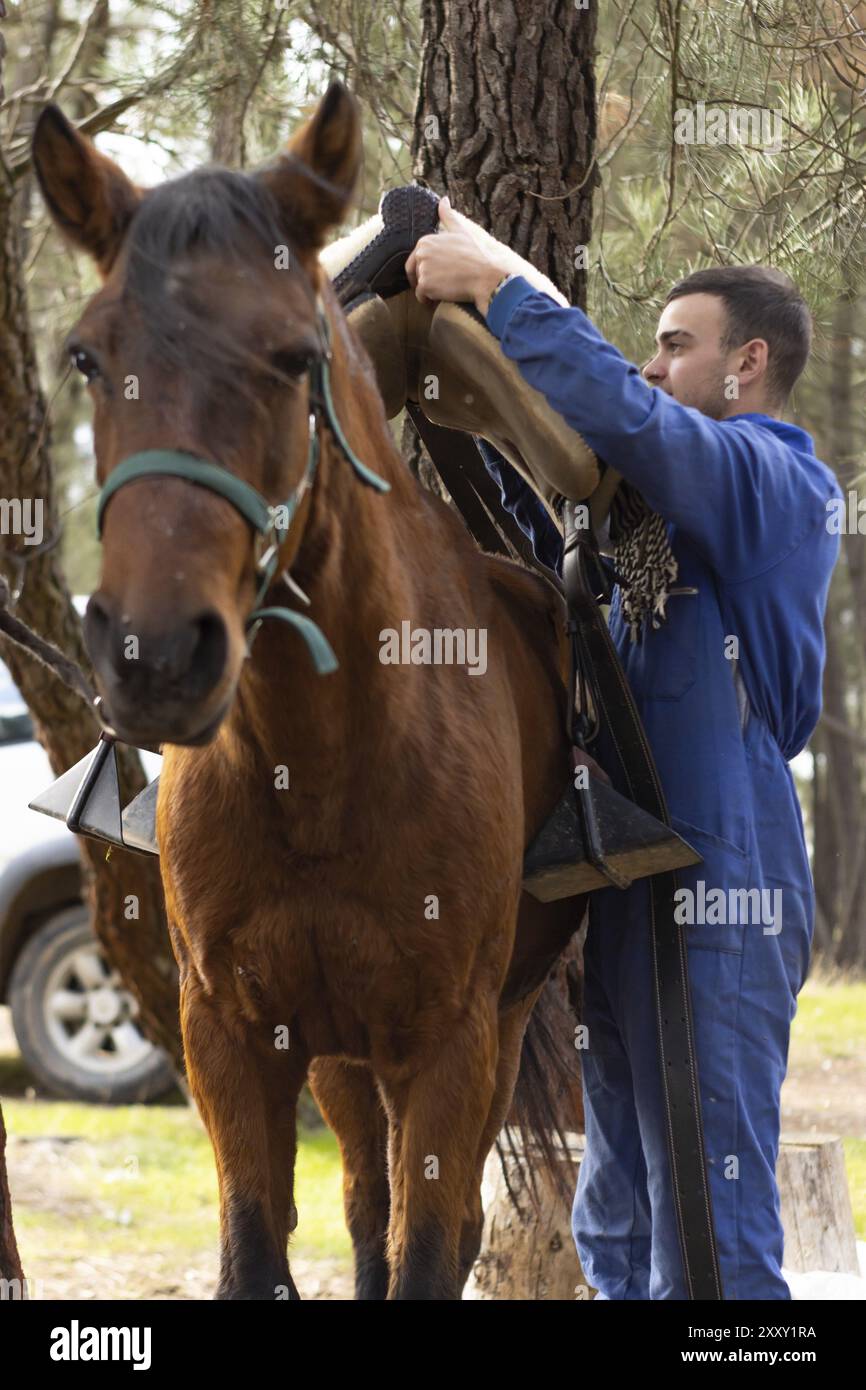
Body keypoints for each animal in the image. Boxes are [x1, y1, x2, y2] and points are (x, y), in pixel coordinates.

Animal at [32, 80, 588, 1300]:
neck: (321, 769)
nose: (153, 653)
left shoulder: (450, 1042)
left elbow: (429, 1247)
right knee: (365, 1207)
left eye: (294, 356)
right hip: (341, 1053)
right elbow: (262, 1244)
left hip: (495, 1021)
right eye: (87, 356)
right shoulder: (232, 1037)